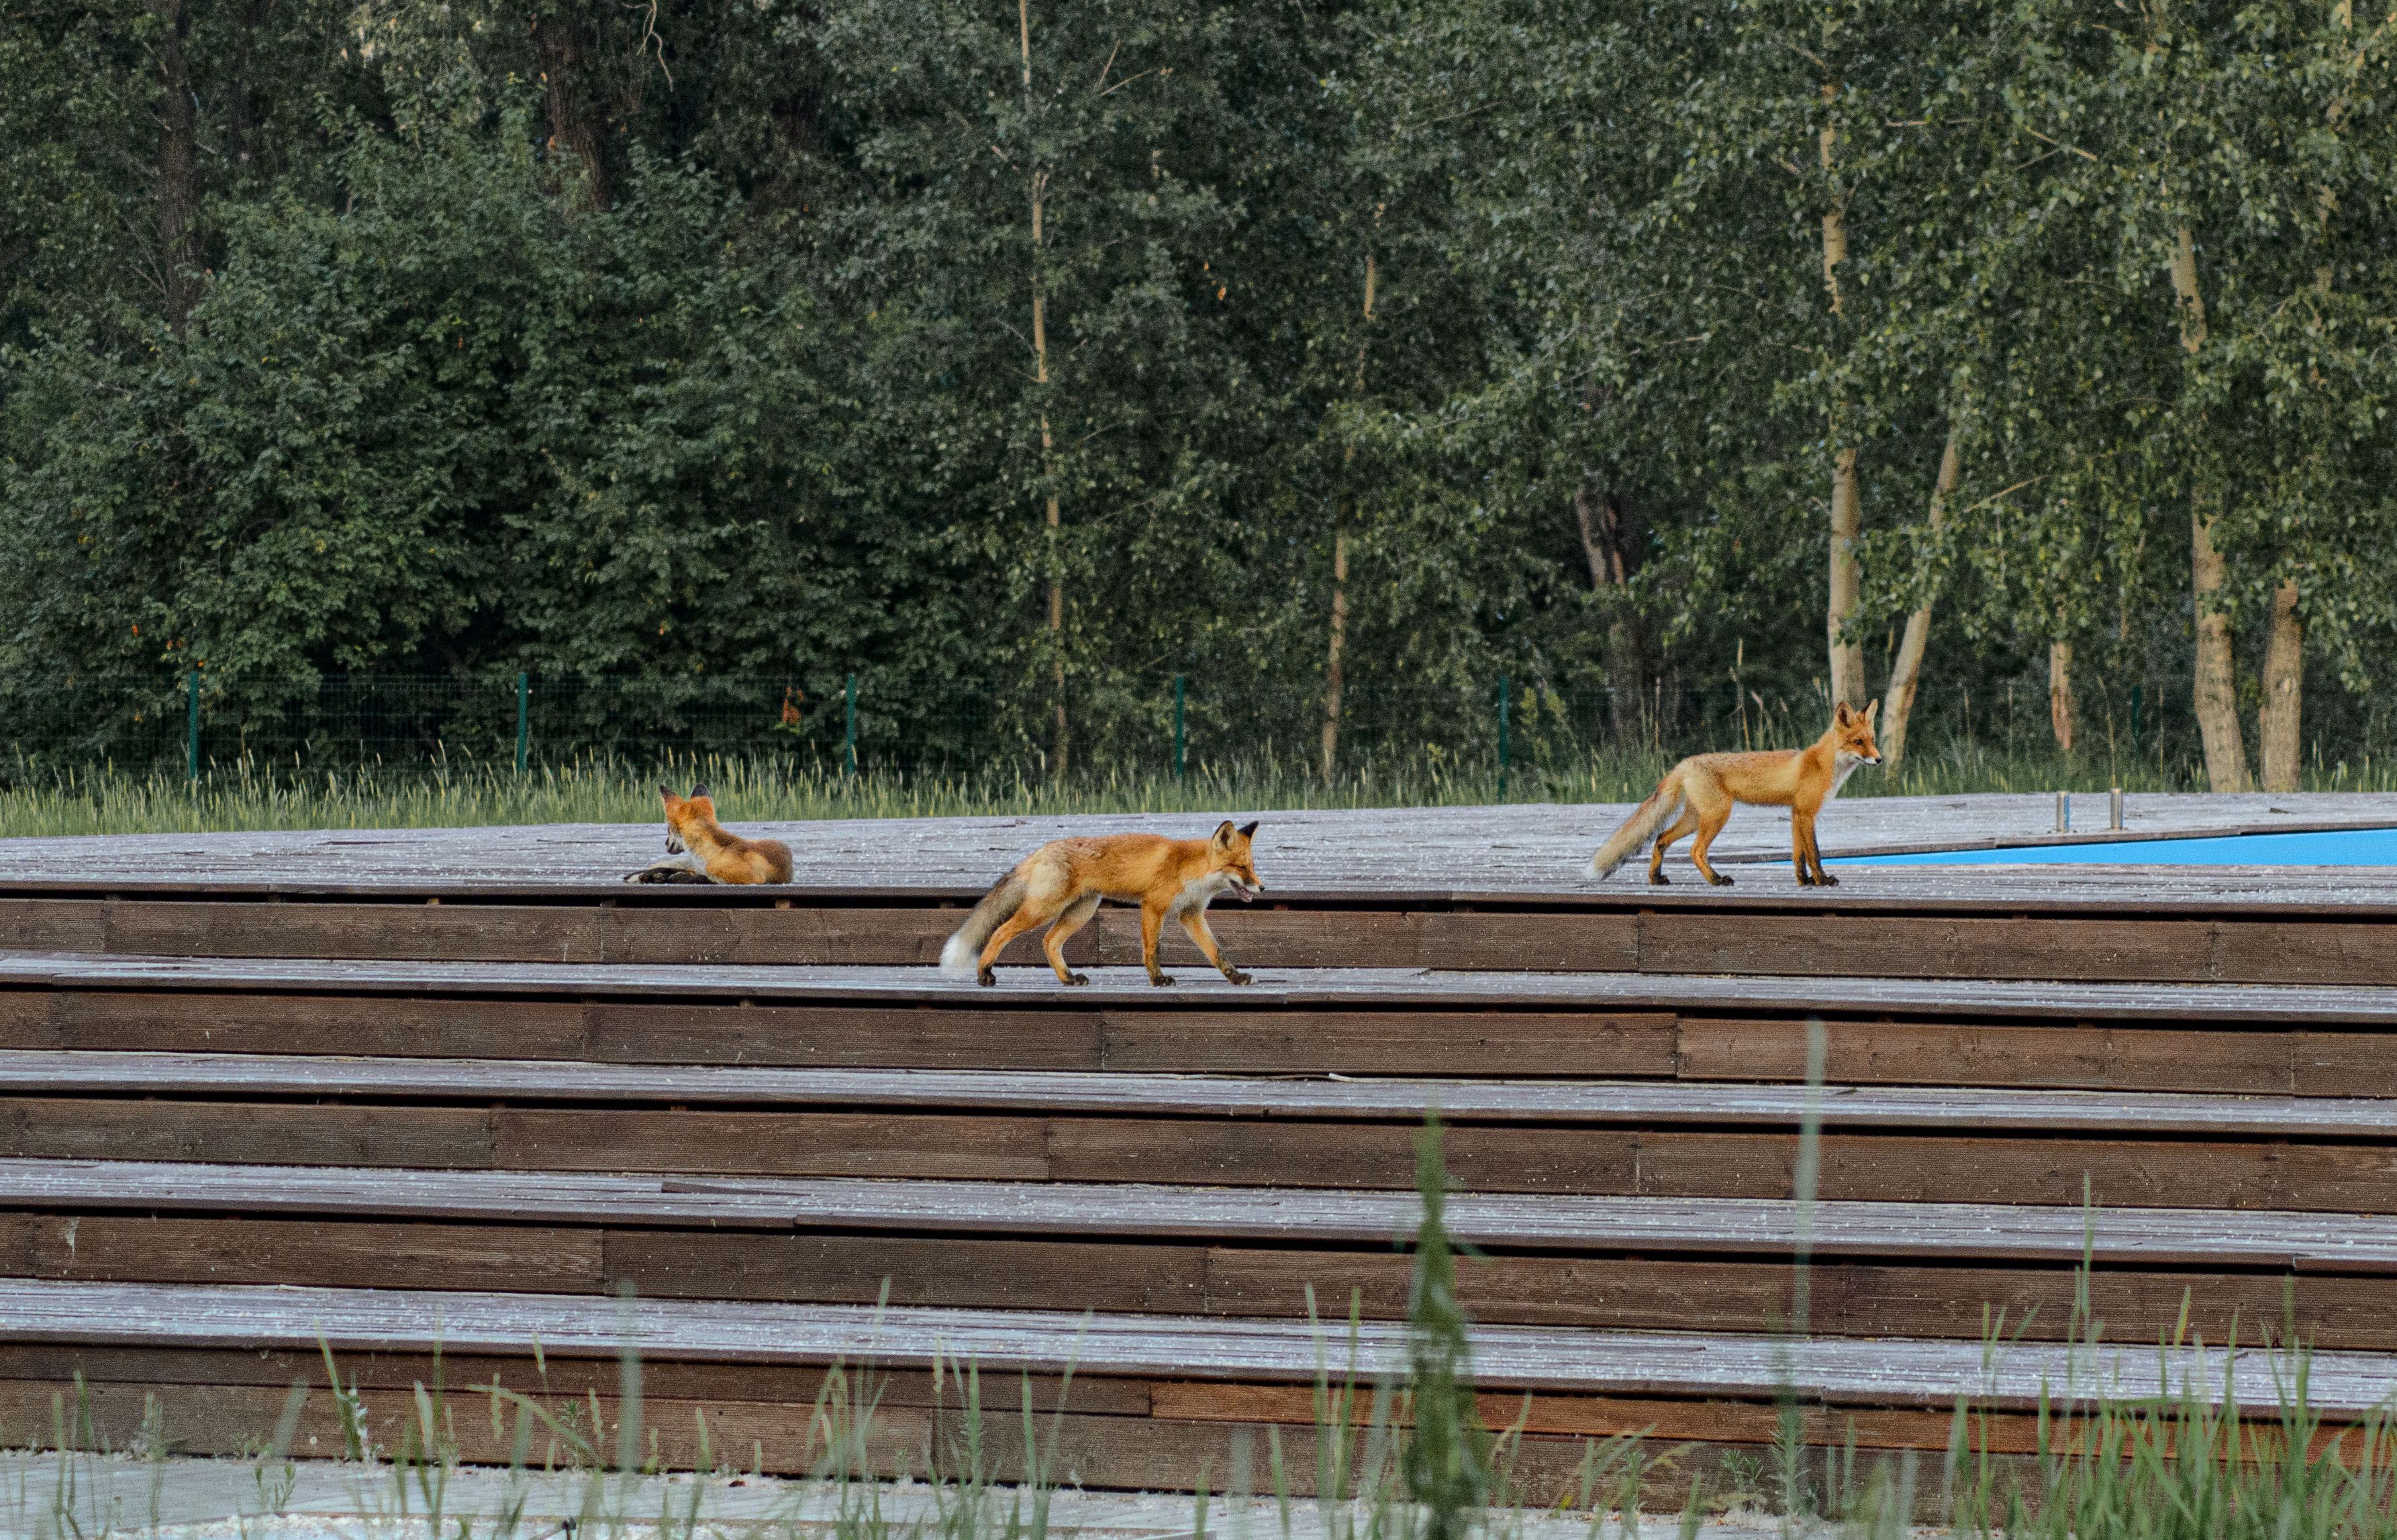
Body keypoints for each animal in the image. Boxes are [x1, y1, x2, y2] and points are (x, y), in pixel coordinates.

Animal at [939, 820, 1264, 987]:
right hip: (1044, 909)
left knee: (1049, 941)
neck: (1189, 868)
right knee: (1000, 931)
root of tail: (1041, 850)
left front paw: (1236, 977)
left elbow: (1217, 953)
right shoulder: (1153, 906)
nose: (1262, 887)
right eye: (1241, 868)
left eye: (1252, 867)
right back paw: (984, 973)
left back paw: (1069, 978)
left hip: (1081, 912)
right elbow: (1152, 951)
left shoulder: (1191, 914)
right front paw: (1158, 980)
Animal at [1589, 700, 1883, 888]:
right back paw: (1716, 880)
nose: (1880, 760)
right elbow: (1814, 854)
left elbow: (1798, 855)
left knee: (1661, 838)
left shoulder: (1796, 813)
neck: (1822, 764)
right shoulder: (1807, 812)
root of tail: (1684, 764)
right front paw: (1822, 881)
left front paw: (1805, 882)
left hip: (1695, 818)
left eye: (1872, 740)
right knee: (1696, 851)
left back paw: (1656, 879)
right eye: (1858, 742)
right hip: (1718, 815)